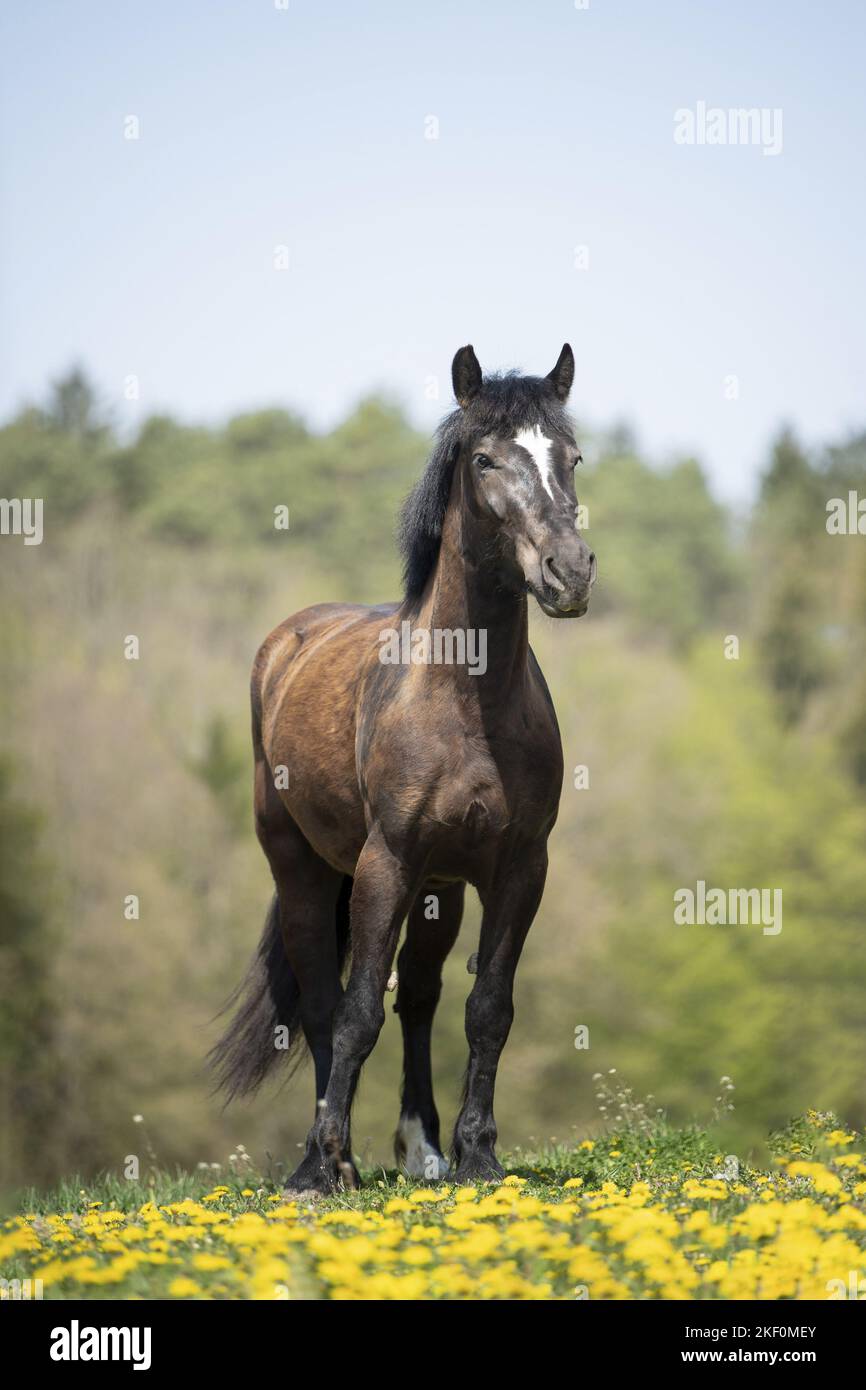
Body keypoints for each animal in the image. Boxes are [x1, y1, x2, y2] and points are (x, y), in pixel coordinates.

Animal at [210, 343, 596, 1192]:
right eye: (484, 459)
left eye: (573, 457)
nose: (570, 571)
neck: (466, 702)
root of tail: (287, 644)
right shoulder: (385, 863)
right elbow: (356, 1012)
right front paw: (323, 1166)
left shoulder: (520, 867)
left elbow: (488, 1008)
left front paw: (478, 1154)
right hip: (303, 868)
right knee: (324, 1002)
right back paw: (329, 1158)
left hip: (438, 888)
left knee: (418, 996)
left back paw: (422, 1152)